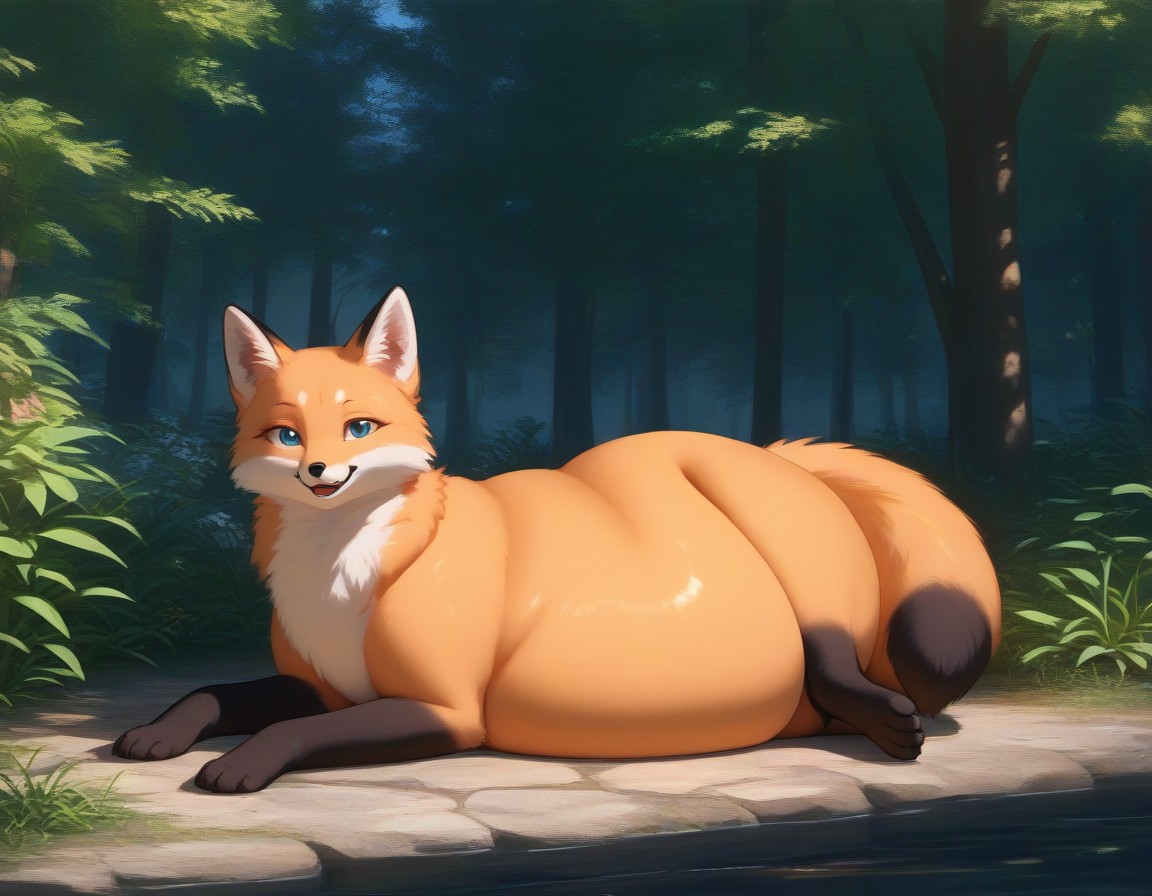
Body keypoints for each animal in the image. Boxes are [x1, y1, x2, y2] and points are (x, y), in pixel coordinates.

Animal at [113, 287, 1000, 794]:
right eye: (287, 434)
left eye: (359, 426)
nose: (319, 472)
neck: (344, 579)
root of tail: (783, 450)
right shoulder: (326, 685)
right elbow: (215, 693)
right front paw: (159, 733)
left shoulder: (446, 708)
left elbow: (290, 731)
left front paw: (239, 764)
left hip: (796, 571)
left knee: (839, 666)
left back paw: (890, 723)